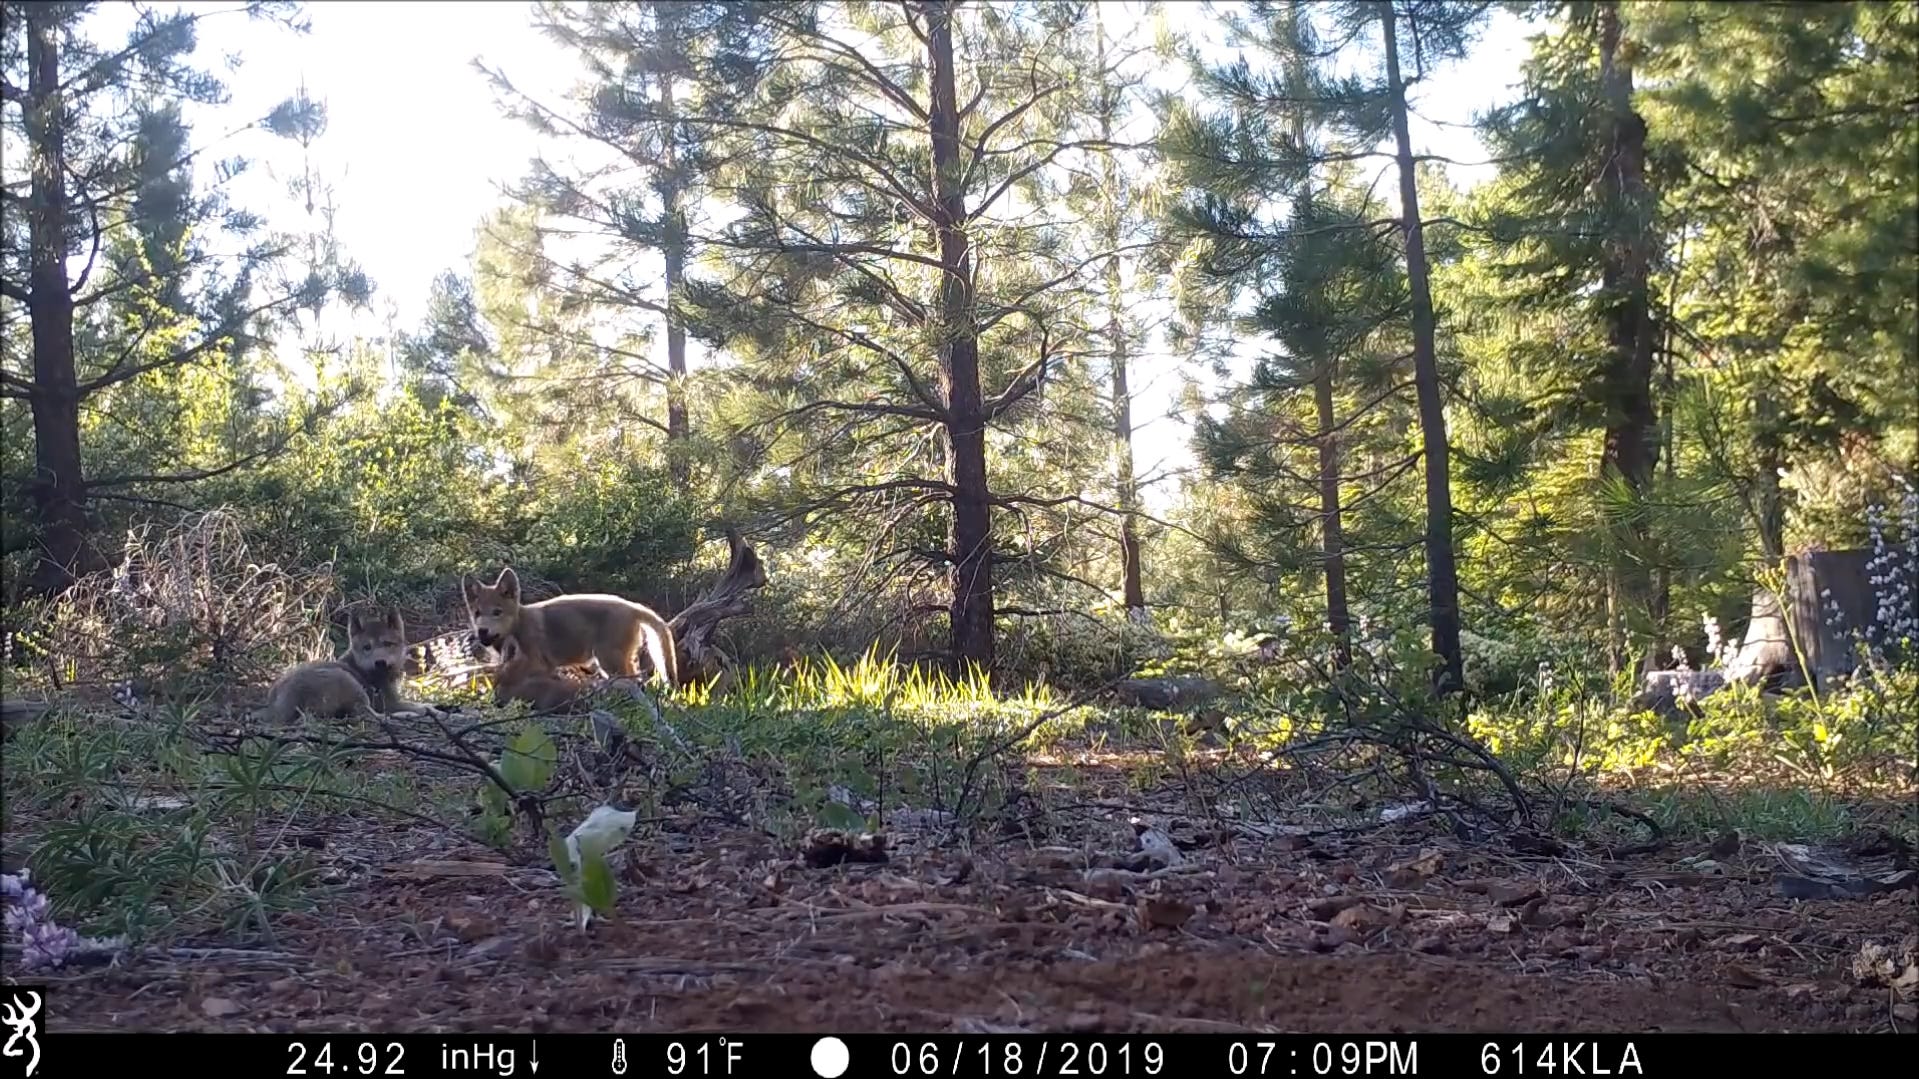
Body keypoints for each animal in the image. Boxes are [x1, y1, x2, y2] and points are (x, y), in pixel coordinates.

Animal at [264, 606, 424, 723]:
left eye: (387, 644)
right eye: (367, 647)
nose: (380, 662)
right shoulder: (390, 703)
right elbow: (419, 705)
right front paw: (426, 709)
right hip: (348, 680)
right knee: (371, 715)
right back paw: (408, 715)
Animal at [462, 567, 679, 689]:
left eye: (497, 612)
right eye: (477, 613)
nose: (482, 631)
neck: (519, 625)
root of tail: (634, 606)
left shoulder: (537, 662)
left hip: (608, 659)